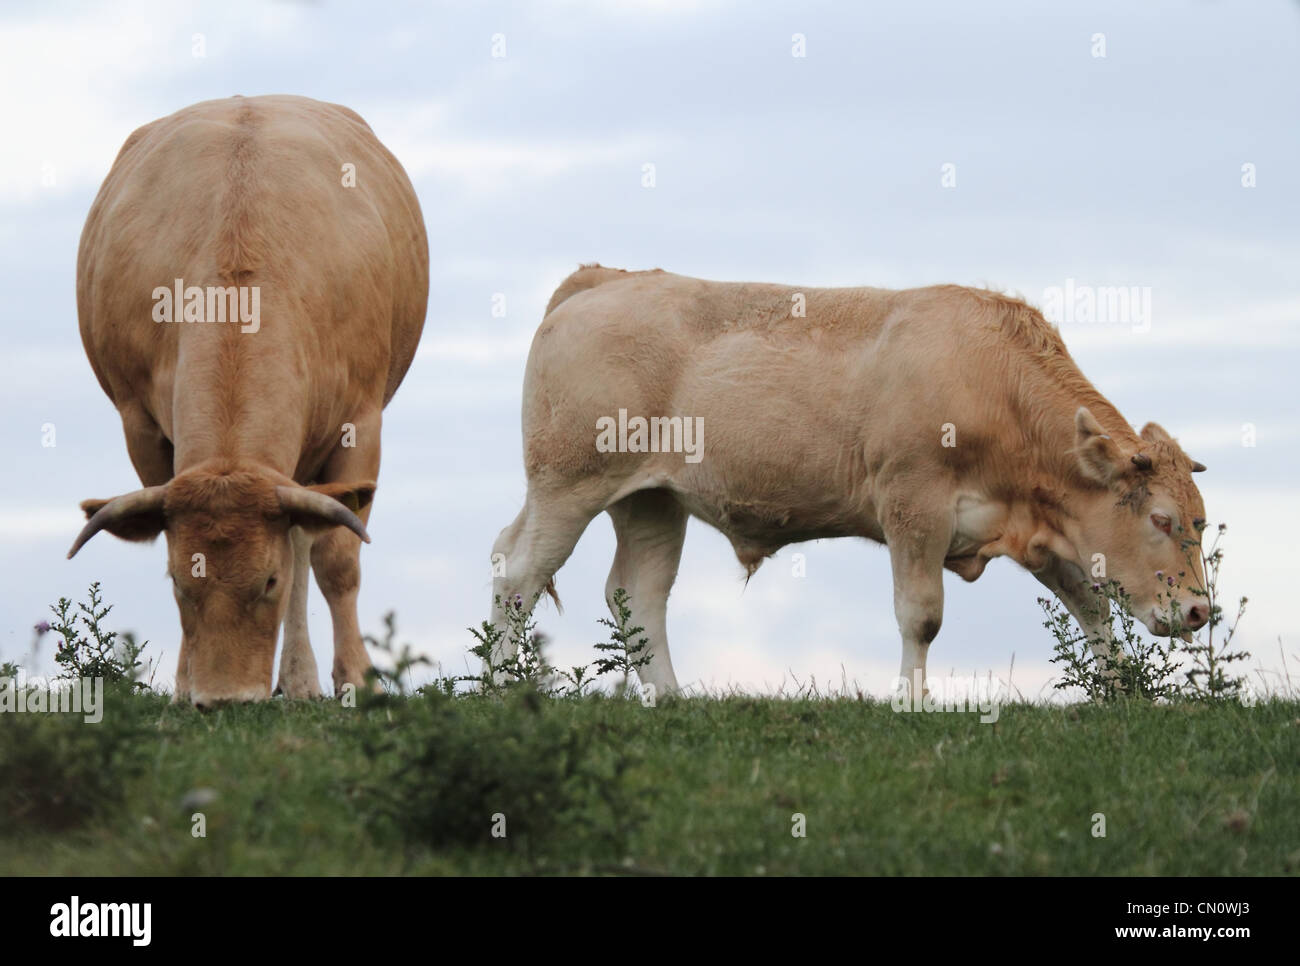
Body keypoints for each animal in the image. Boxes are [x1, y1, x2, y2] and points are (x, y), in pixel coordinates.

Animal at [69, 95, 429, 707]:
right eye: (178, 584)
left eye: (268, 581)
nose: (225, 699)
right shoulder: (140, 426)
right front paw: (183, 682)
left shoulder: (361, 423)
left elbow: (335, 560)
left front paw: (357, 680)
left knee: (308, 541)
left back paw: (305, 679)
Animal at [487, 265, 1209, 696]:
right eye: (1162, 520)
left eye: (1200, 523)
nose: (1202, 610)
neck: (995, 383)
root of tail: (603, 279)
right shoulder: (914, 506)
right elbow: (921, 616)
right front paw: (911, 703)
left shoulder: (1037, 529)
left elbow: (1092, 607)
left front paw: (1122, 695)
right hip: (567, 486)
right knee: (516, 574)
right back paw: (498, 685)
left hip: (652, 503)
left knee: (638, 597)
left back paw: (672, 701)